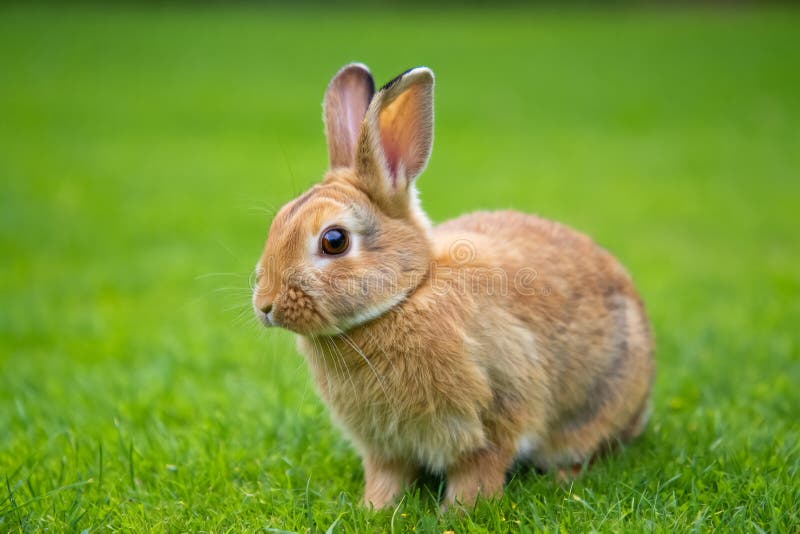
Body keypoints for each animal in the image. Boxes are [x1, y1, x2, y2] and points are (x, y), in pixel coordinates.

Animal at [252, 63, 654, 509]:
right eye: (278, 221)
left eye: (334, 240)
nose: (265, 306)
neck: (405, 297)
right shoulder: (384, 447)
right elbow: (385, 477)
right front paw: (374, 509)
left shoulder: (495, 417)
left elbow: (478, 470)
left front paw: (458, 513)